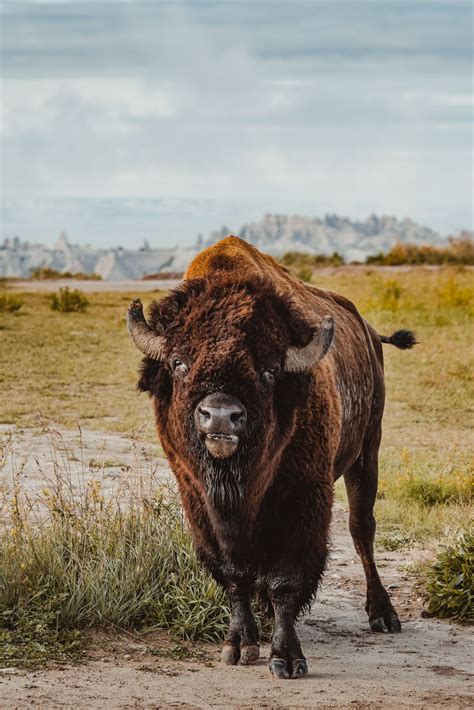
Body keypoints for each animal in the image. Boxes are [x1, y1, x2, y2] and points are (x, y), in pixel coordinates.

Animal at [127, 236, 416, 679]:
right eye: (179, 363)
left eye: (269, 369)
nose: (220, 415)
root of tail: (368, 332)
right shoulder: (200, 503)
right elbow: (233, 575)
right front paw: (239, 645)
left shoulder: (302, 499)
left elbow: (285, 580)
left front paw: (287, 657)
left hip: (368, 451)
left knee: (361, 528)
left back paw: (383, 615)